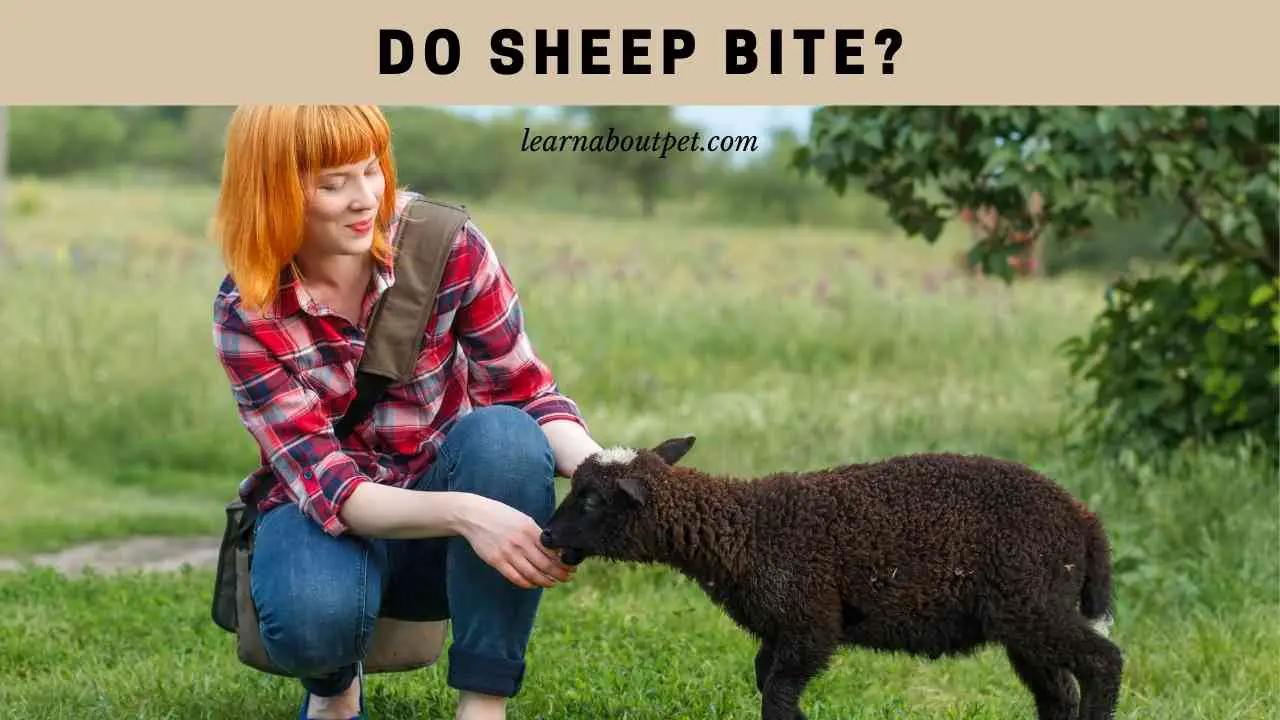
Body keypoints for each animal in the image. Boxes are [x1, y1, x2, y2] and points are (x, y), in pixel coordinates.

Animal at [541, 436, 1123, 720]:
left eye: (590, 500)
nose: (546, 535)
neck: (748, 529)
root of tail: (1084, 521)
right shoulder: (780, 631)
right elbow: (766, 682)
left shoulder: (812, 621)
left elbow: (776, 696)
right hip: (1025, 617)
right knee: (1058, 693)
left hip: (1033, 602)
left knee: (1104, 663)